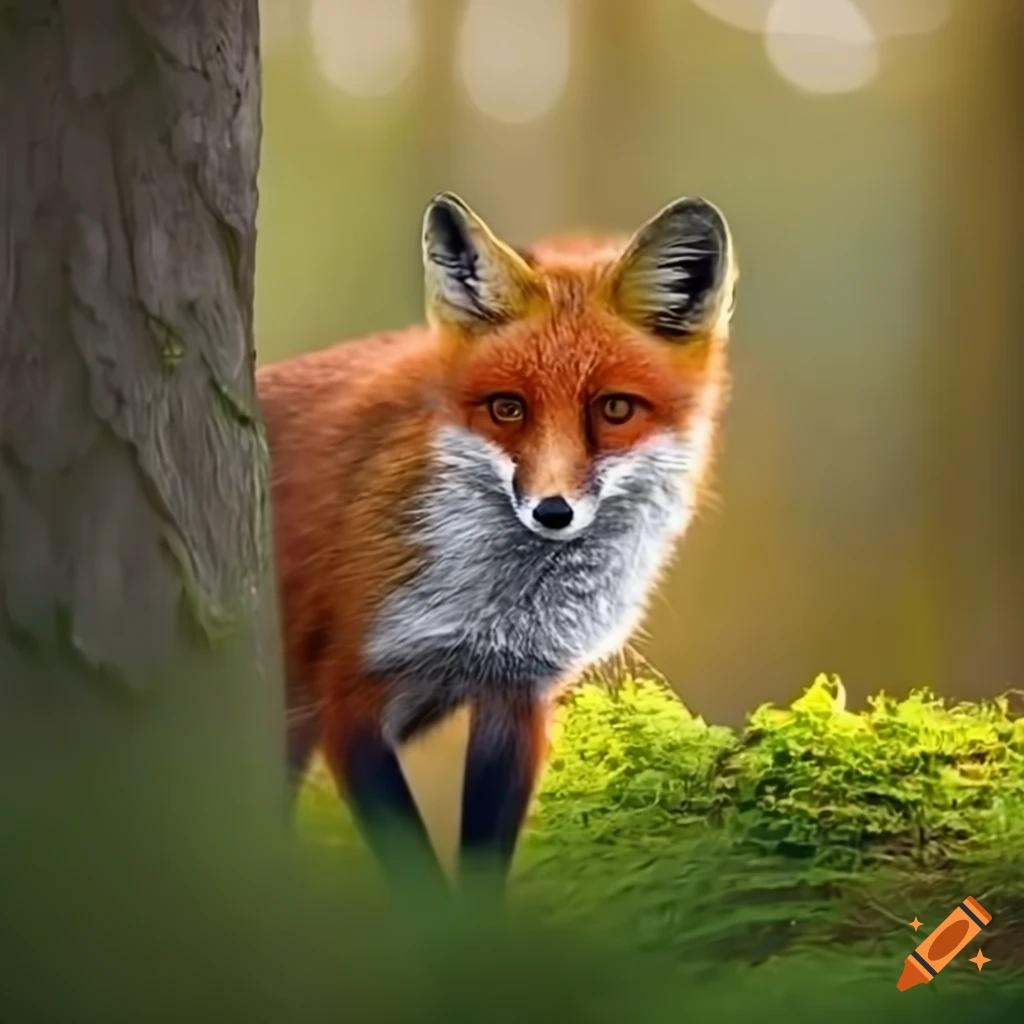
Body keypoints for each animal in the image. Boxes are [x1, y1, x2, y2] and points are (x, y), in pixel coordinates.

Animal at [258, 191, 738, 895]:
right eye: (507, 409)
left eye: (615, 410)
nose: (552, 511)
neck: (494, 611)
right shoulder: (346, 692)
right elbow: (415, 870)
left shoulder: (517, 696)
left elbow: (484, 865)